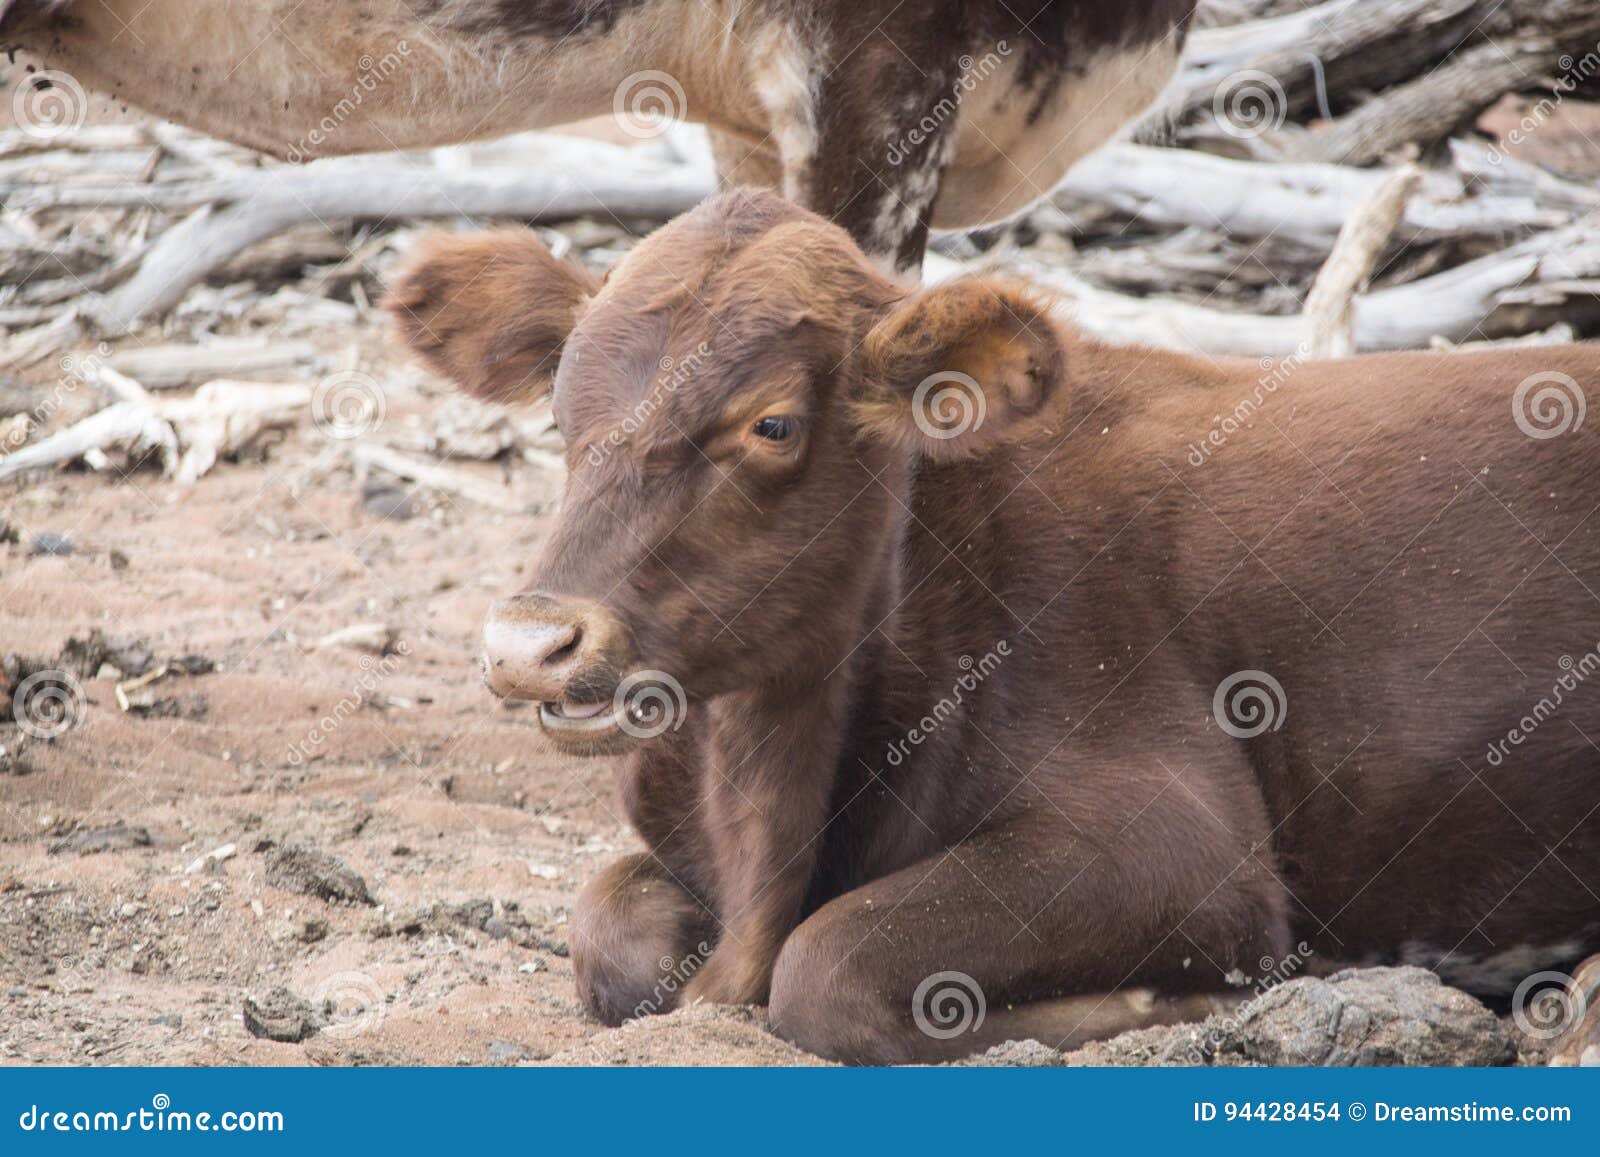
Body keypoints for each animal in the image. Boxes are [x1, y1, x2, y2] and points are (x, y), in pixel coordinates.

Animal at [385, 186, 1600, 1066]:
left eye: (772, 423)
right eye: (560, 414)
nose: (529, 646)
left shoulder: (1186, 837)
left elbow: (828, 962)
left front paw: (1174, 1002)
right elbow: (610, 927)